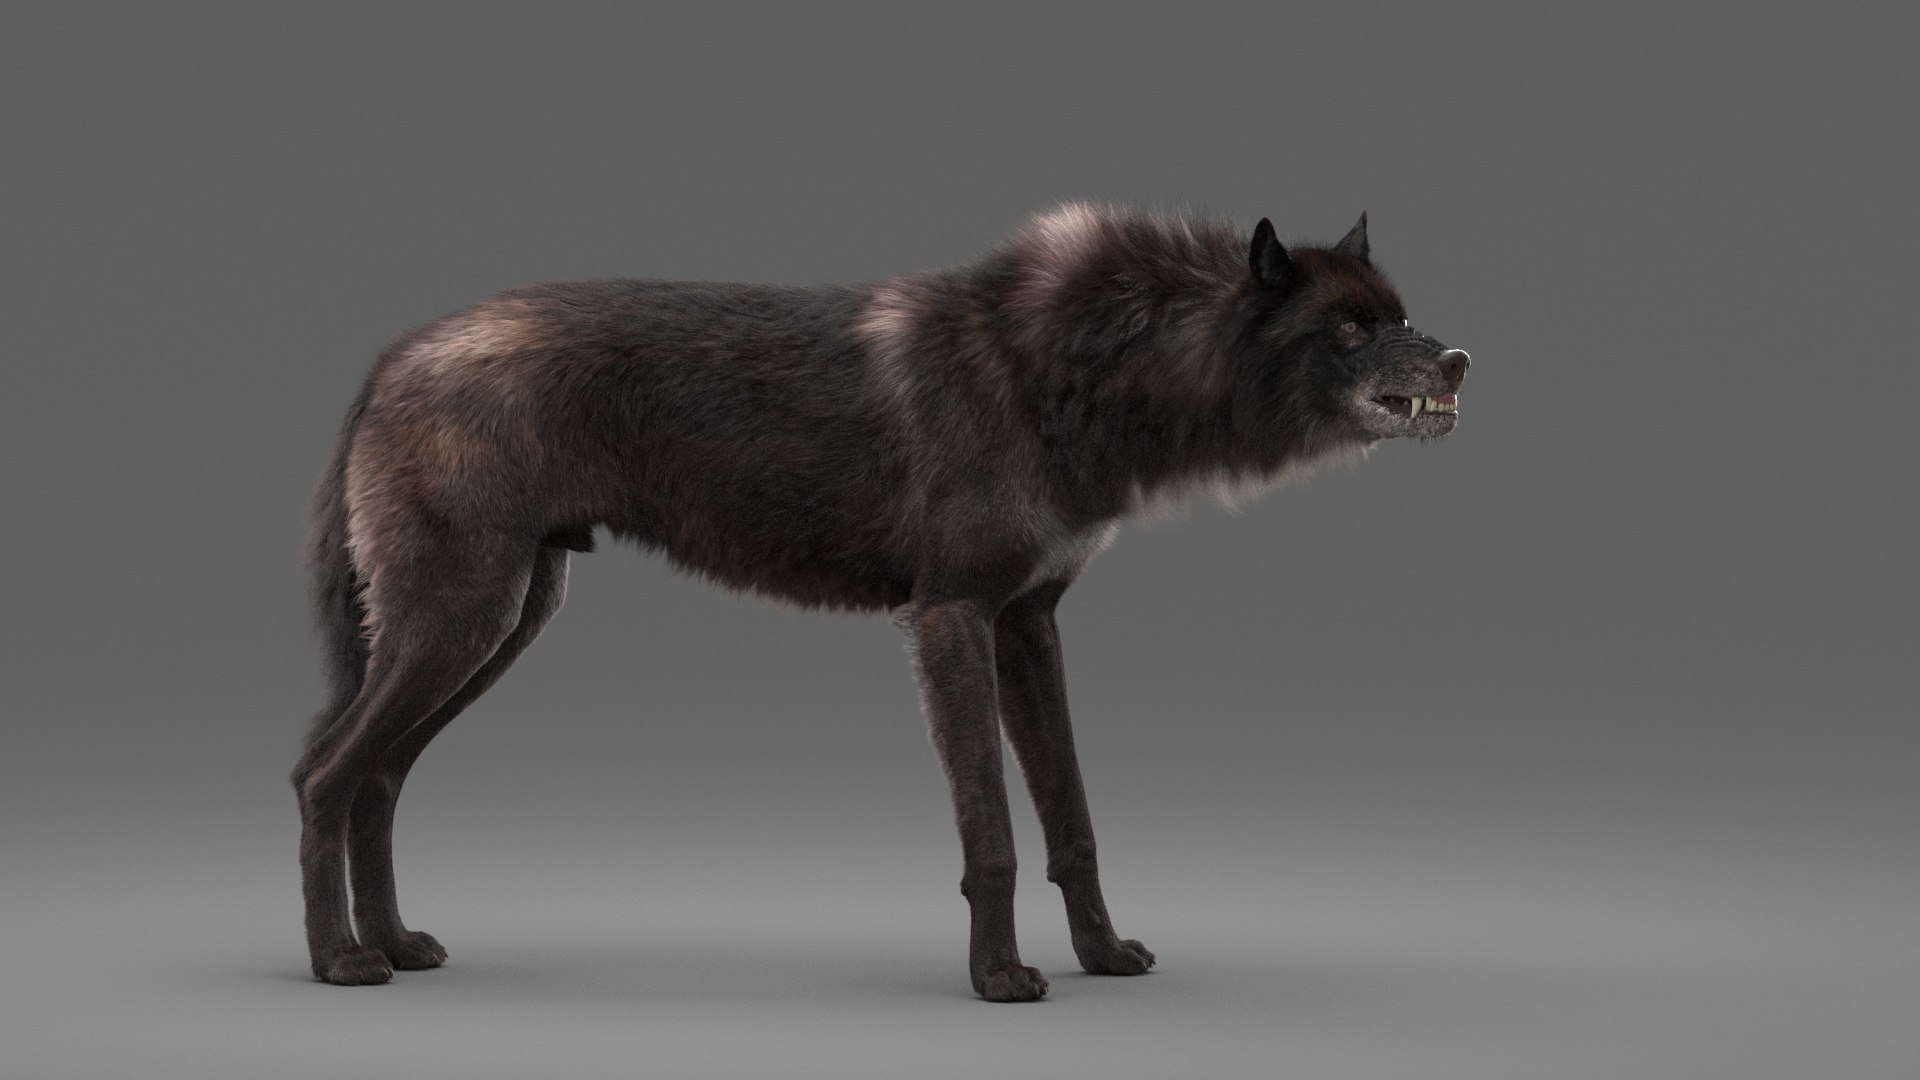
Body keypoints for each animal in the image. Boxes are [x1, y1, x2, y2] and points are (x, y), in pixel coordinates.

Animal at [291, 203, 1469, 1000]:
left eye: (1400, 316)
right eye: (1349, 330)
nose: (1459, 358)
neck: (1063, 370)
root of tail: (388, 360)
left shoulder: (1030, 623)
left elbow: (1072, 820)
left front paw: (1101, 956)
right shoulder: (951, 618)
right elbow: (993, 831)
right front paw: (1000, 979)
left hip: (498, 626)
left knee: (378, 777)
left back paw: (396, 946)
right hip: (465, 623)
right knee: (323, 774)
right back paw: (341, 961)